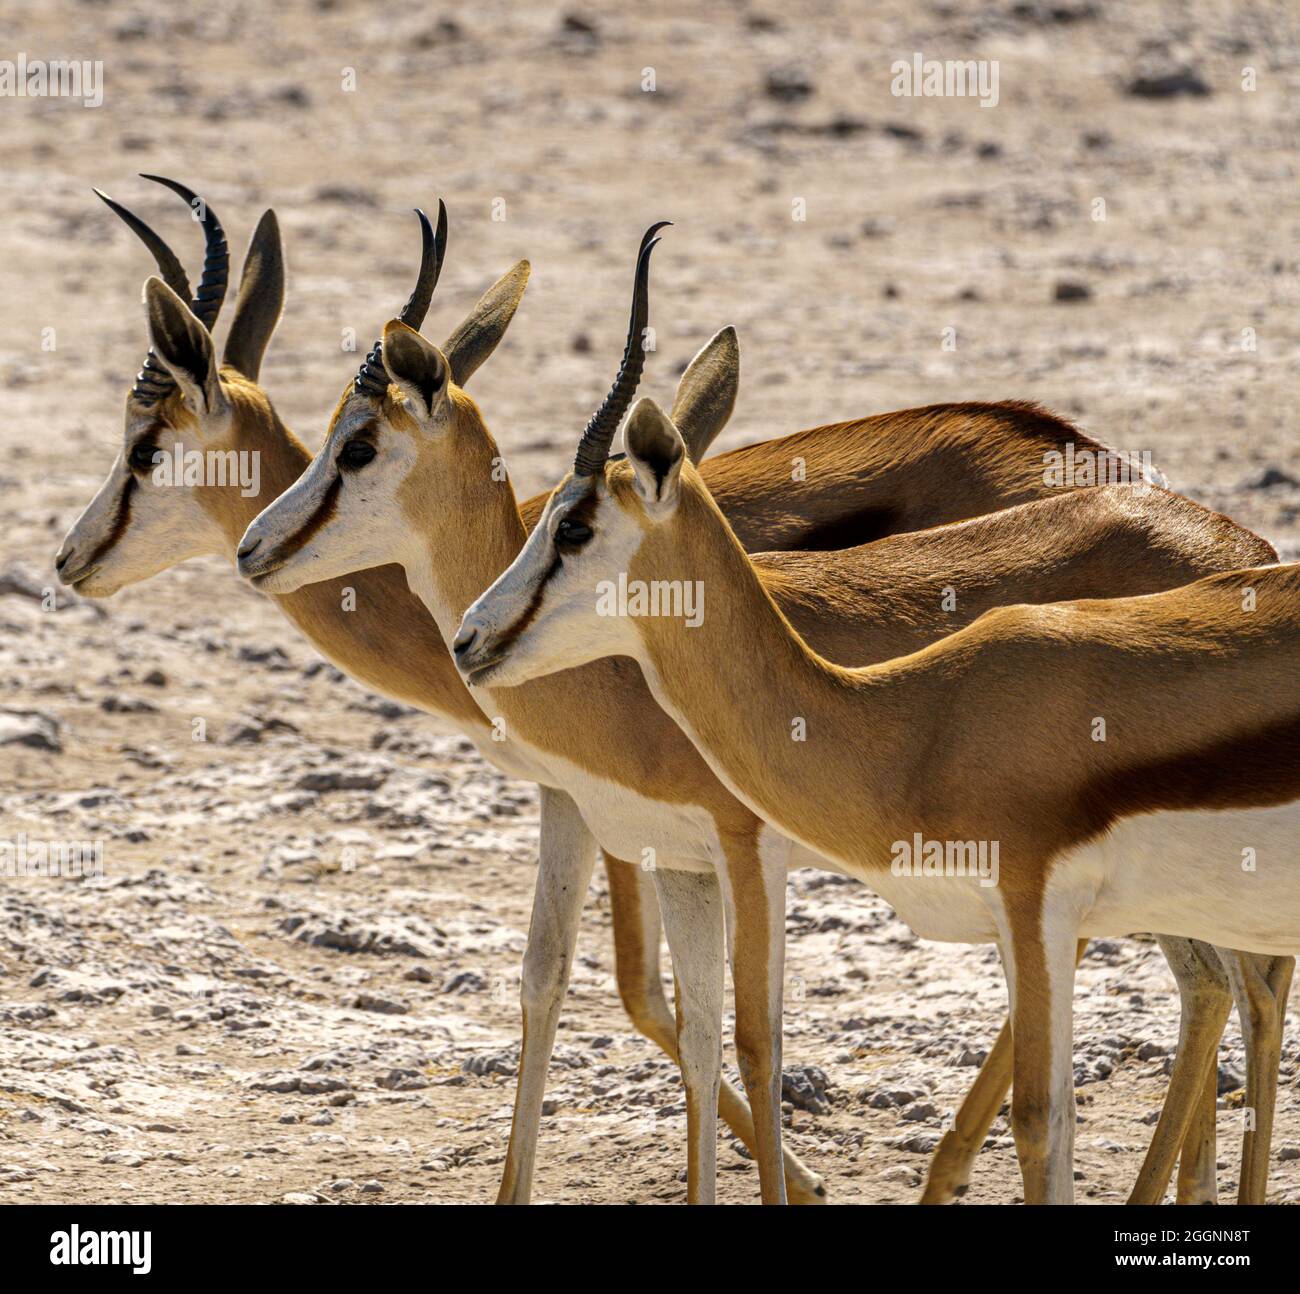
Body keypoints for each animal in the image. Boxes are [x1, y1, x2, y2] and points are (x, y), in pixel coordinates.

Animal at [237, 227, 1292, 1204]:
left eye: (358, 445)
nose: (253, 546)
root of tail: (1237, 542)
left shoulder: (747, 850)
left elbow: (753, 1040)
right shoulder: (656, 847)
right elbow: (647, 1013)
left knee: (1227, 988)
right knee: (1228, 986)